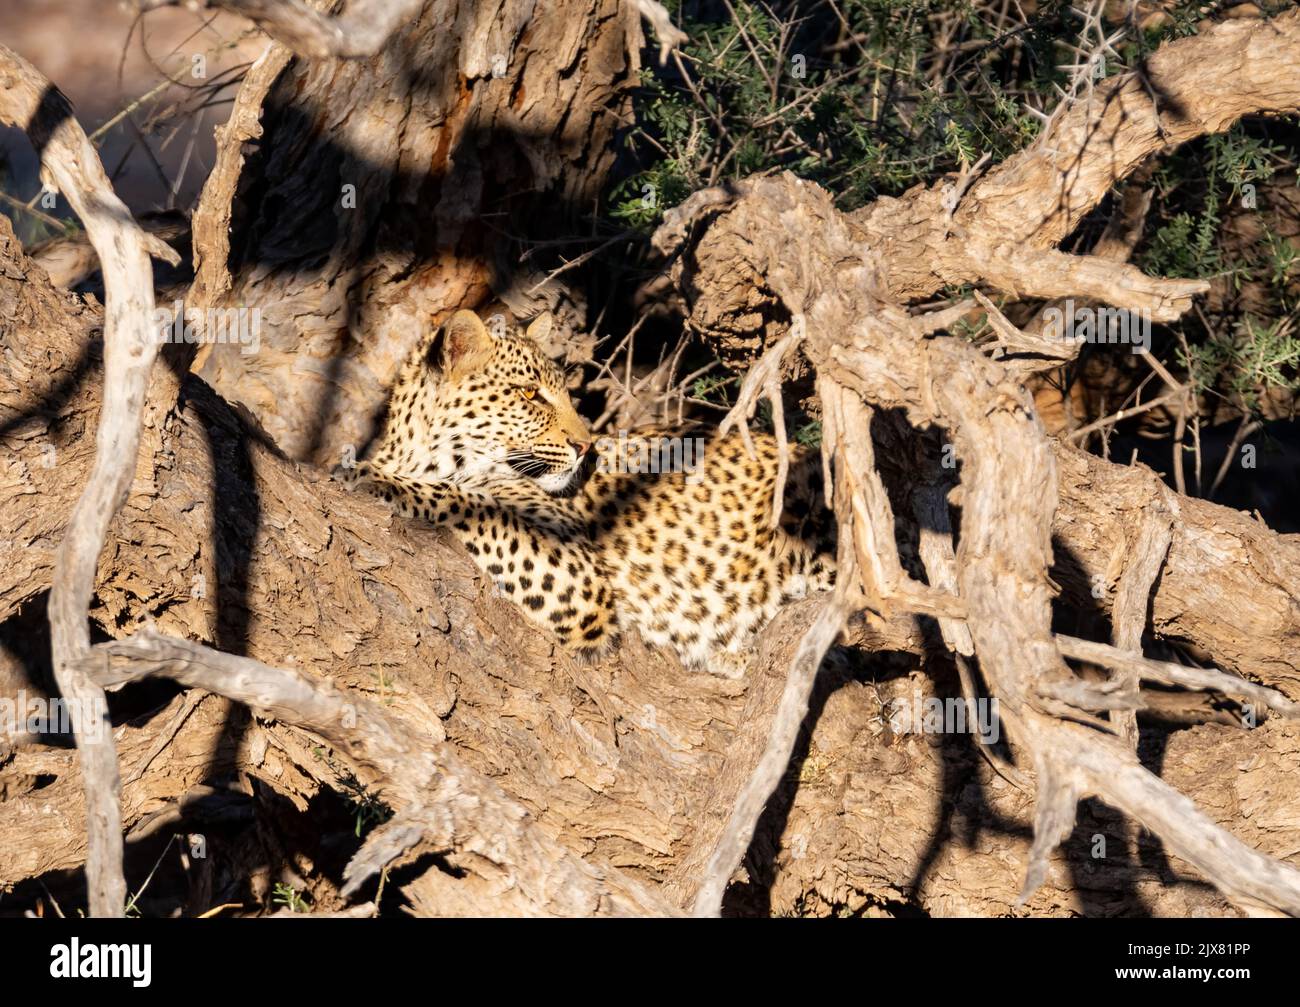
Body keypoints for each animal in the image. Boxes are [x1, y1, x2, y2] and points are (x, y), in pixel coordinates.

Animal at [349, 309, 837, 673]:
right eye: (530, 394)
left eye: (564, 392)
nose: (586, 446)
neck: (416, 452)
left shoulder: (576, 573)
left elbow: (470, 500)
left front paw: (374, 479)